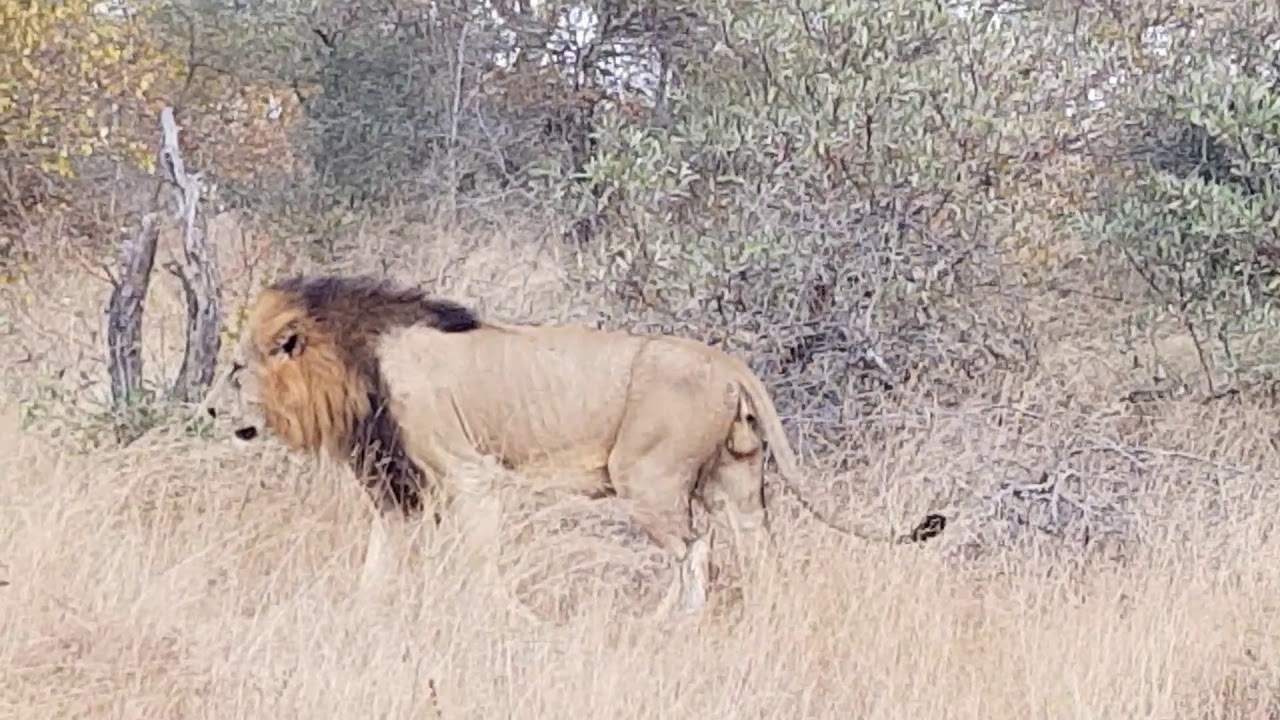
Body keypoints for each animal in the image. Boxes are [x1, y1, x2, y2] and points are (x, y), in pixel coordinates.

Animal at [202, 274, 946, 616]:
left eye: (236, 368)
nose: (206, 409)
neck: (357, 366)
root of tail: (729, 362)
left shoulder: (471, 474)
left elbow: (481, 559)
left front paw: (509, 618)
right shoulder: (397, 487)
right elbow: (378, 563)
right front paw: (361, 612)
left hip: (645, 478)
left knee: (694, 546)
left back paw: (666, 622)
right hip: (736, 479)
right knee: (754, 546)